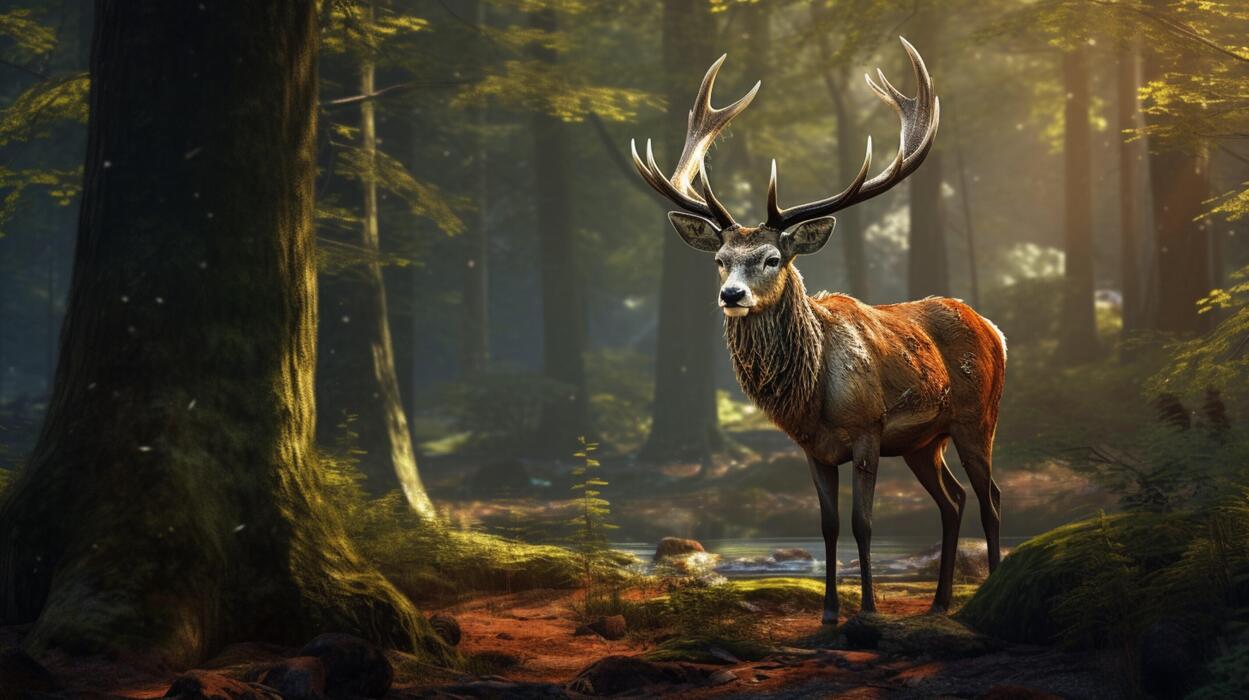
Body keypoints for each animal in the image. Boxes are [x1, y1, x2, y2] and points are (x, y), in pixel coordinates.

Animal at [630, 39, 1005, 622]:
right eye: (719, 259)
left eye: (770, 258)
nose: (731, 295)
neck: (815, 394)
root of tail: (993, 329)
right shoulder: (813, 448)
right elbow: (828, 527)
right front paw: (829, 612)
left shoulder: (869, 430)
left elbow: (862, 523)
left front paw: (867, 609)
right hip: (924, 441)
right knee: (954, 500)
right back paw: (939, 602)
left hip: (977, 416)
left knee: (990, 501)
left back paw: (983, 594)